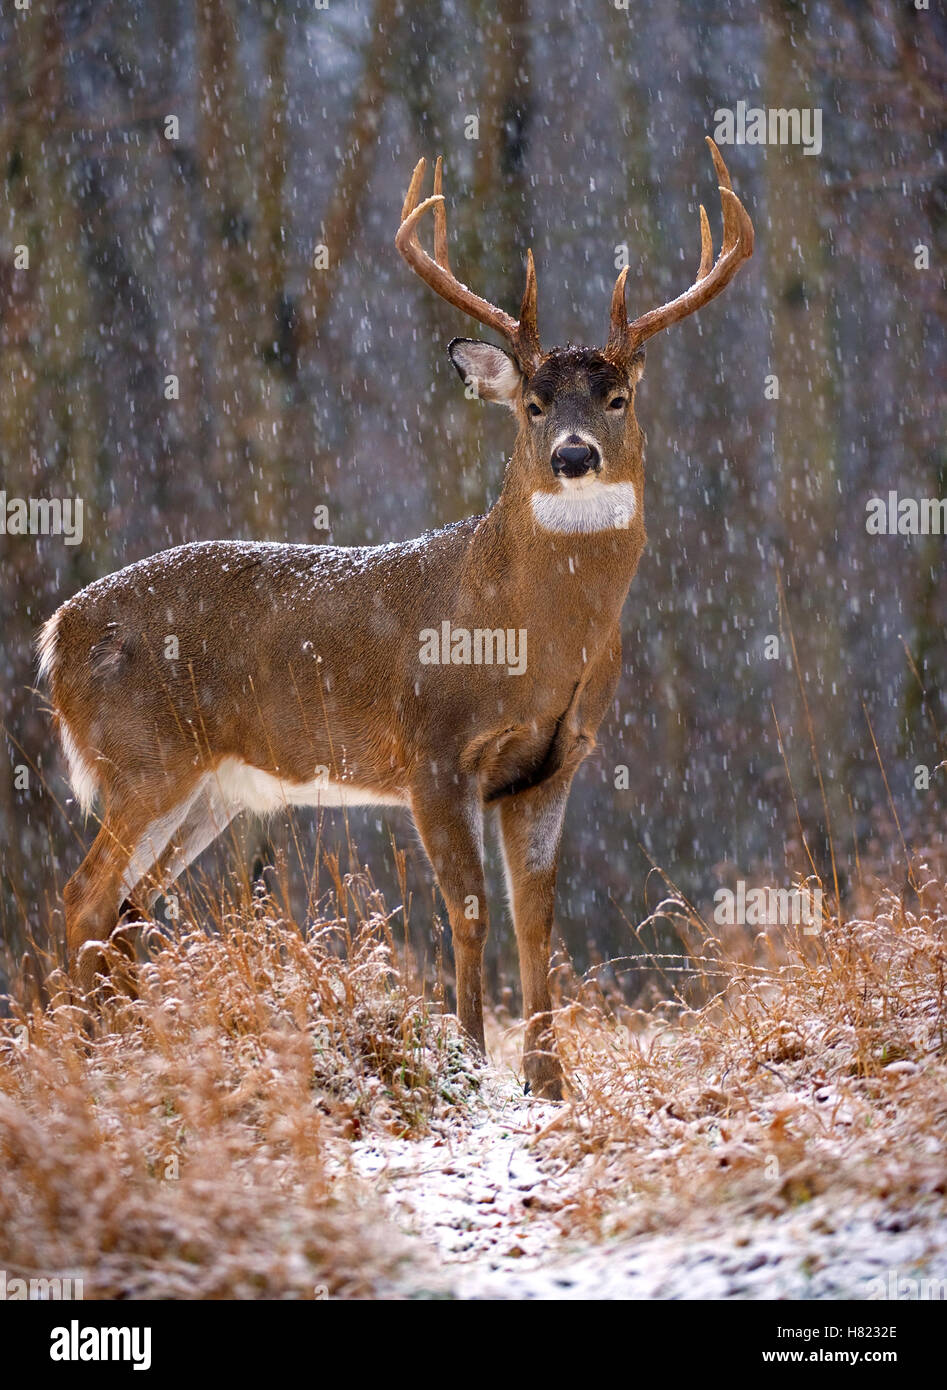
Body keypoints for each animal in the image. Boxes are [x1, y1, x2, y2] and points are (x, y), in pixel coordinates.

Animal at [37, 137, 752, 1099]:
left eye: (617, 400)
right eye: (532, 404)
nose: (572, 456)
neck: (526, 632)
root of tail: (56, 634)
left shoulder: (554, 763)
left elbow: (536, 916)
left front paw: (550, 1081)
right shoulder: (433, 748)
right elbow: (469, 906)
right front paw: (470, 1058)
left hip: (207, 786)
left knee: (128, 905)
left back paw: (129, 1052)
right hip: (142, 756)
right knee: (84, 896)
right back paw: (93, 1066)